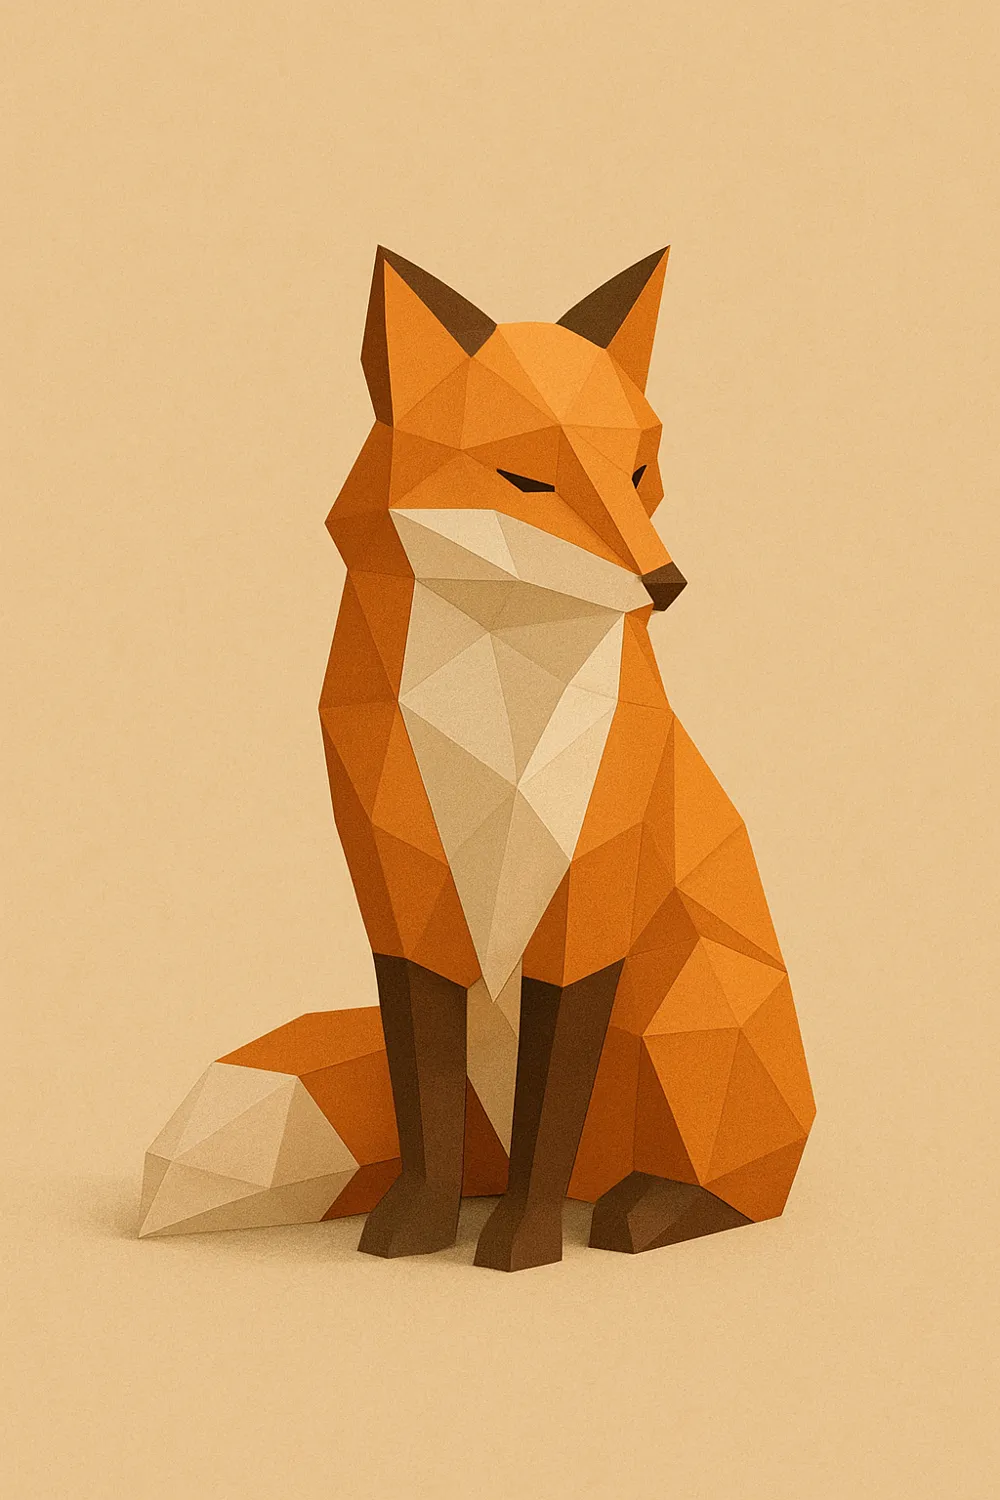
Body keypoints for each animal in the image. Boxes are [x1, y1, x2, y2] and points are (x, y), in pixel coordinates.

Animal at [139, 246, 815, 1270]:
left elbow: (548, 1115)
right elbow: (424, 1114)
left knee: (736, 1191)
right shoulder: (403, 911)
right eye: (529, 480)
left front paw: (520, 1248)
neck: (497, 714)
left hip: (687, 1021)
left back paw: (643, 1208)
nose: (668, 583)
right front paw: (415, 1227)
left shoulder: (581, 918)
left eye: (638, 471)